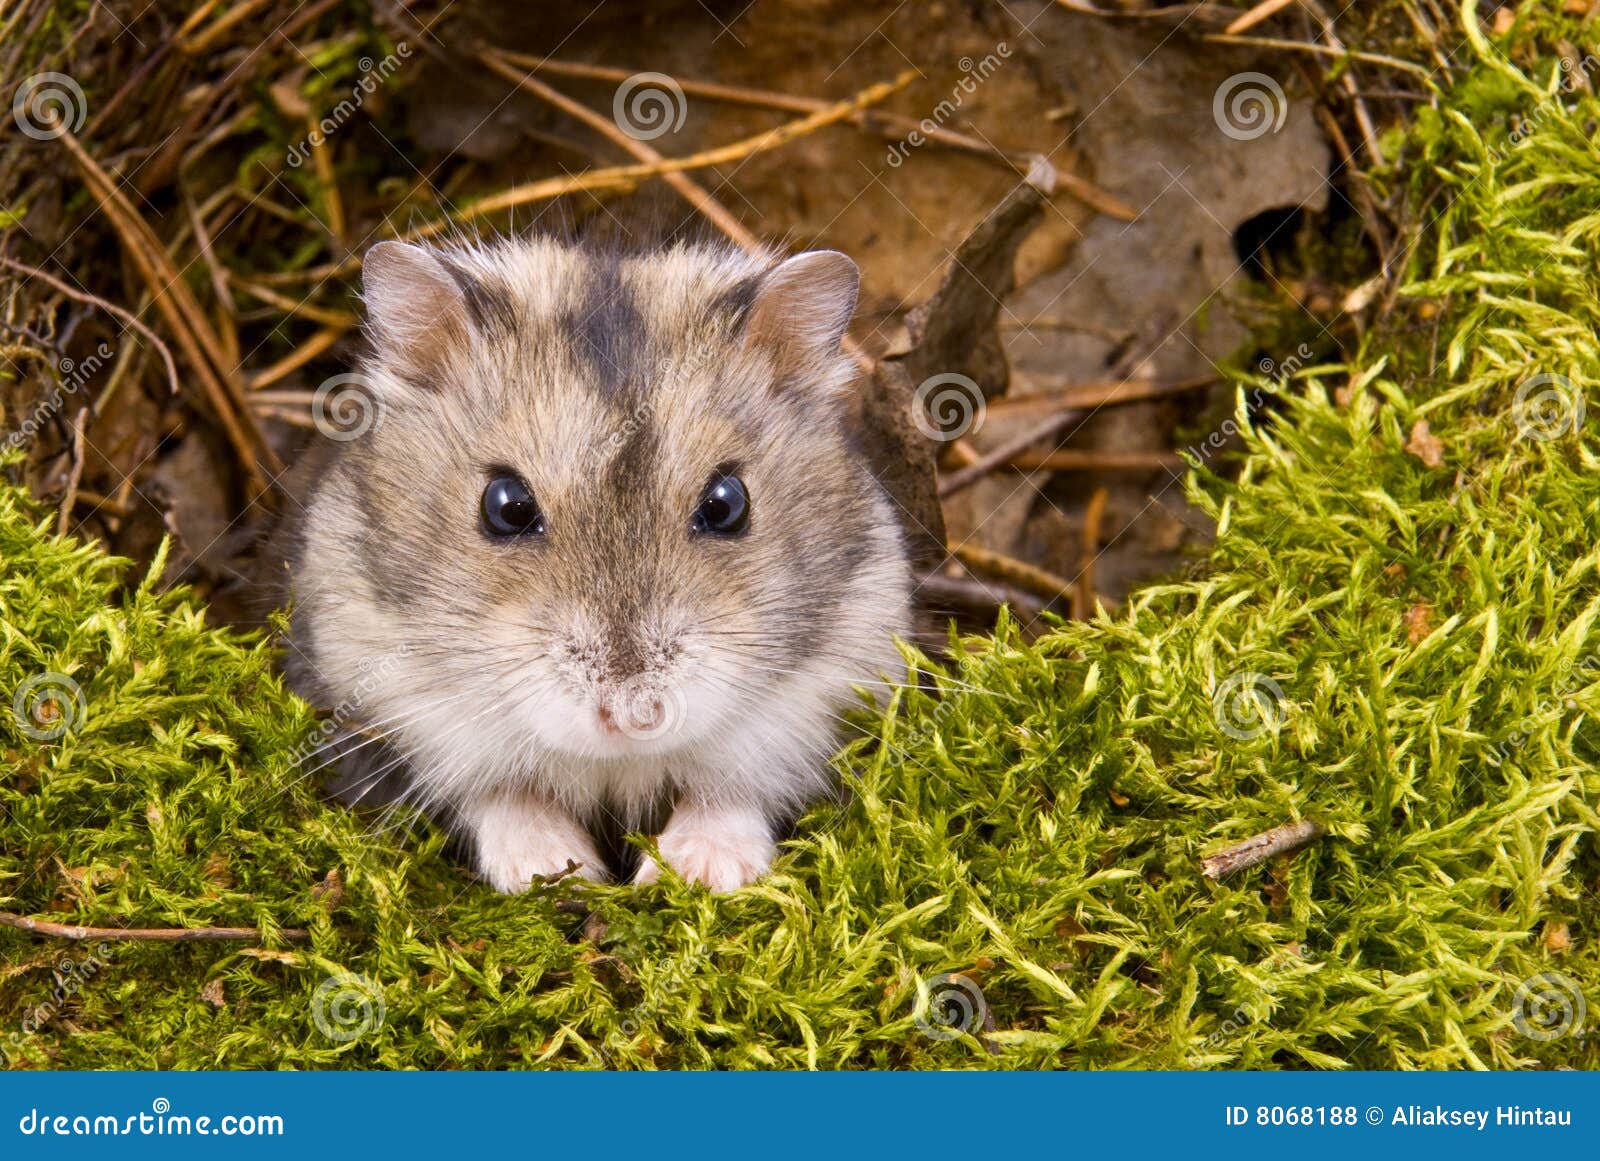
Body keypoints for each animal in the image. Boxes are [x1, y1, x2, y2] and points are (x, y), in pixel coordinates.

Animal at [284, 236, 913, 893]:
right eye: (505, 506)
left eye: (727, 503)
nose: (635, 717)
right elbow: (499, 794)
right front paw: (558, 871)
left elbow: (731, 791)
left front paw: (694, 873)